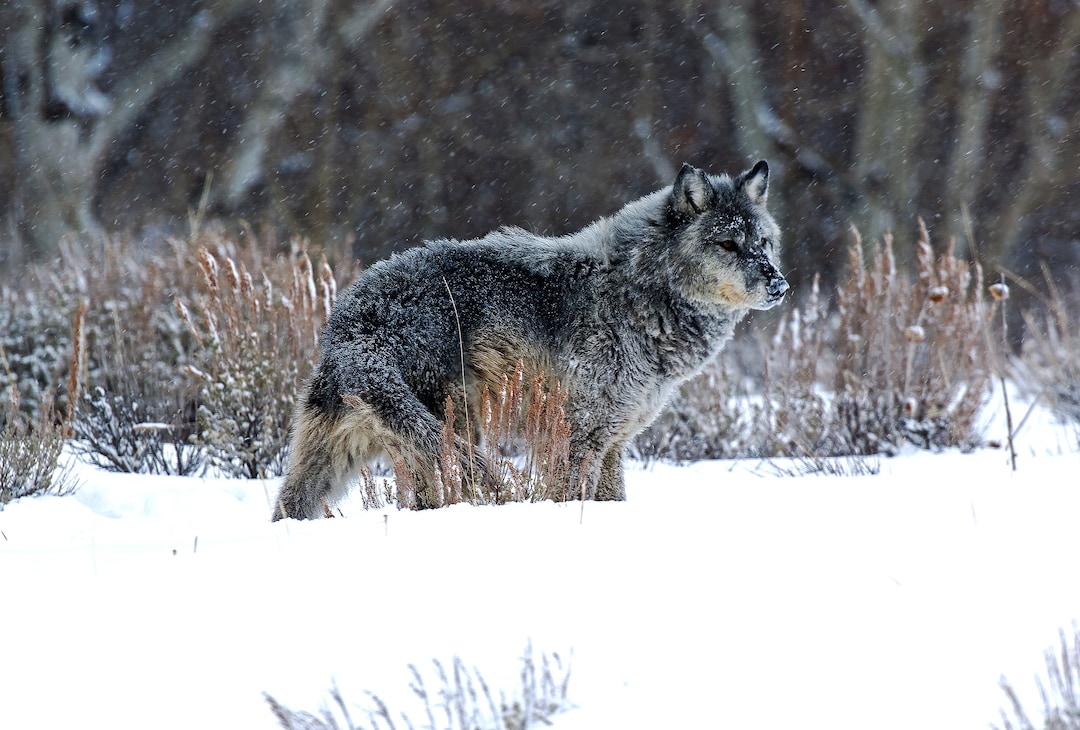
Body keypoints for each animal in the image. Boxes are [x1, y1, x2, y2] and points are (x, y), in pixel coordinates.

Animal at [272, 161, 788, 520]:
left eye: (763, 243)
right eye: (728, 245)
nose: (780, 285)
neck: (638, 290)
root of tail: (351, 327)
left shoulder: (614, 441)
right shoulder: (580, 437)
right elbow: (572, 498)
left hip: (334, 458)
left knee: (289, 508)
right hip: (456, 435)